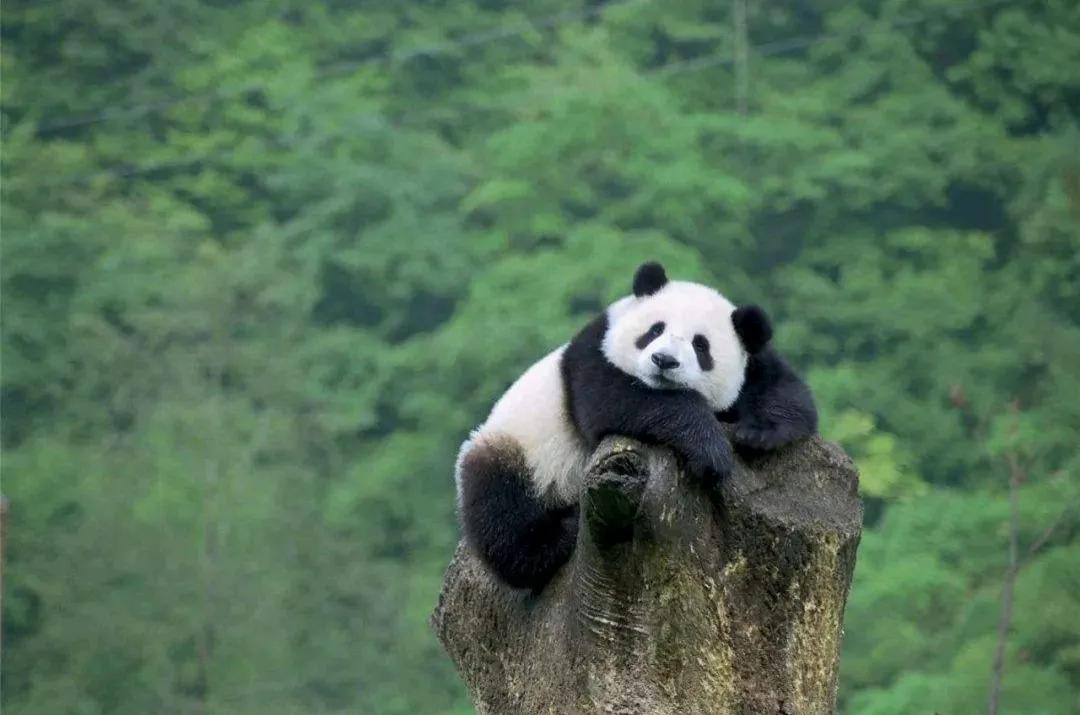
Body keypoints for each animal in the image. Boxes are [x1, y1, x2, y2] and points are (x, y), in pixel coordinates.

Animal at [455, 261, 817, 590]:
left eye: (701, 345)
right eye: (655, 330)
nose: (664, 361)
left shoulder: (755, 363)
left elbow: (783, 389)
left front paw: (759, 433)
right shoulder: (592, 352)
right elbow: (617, 400)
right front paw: (710, 450)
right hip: (518, 450)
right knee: (503, 513)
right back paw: (561, 532)